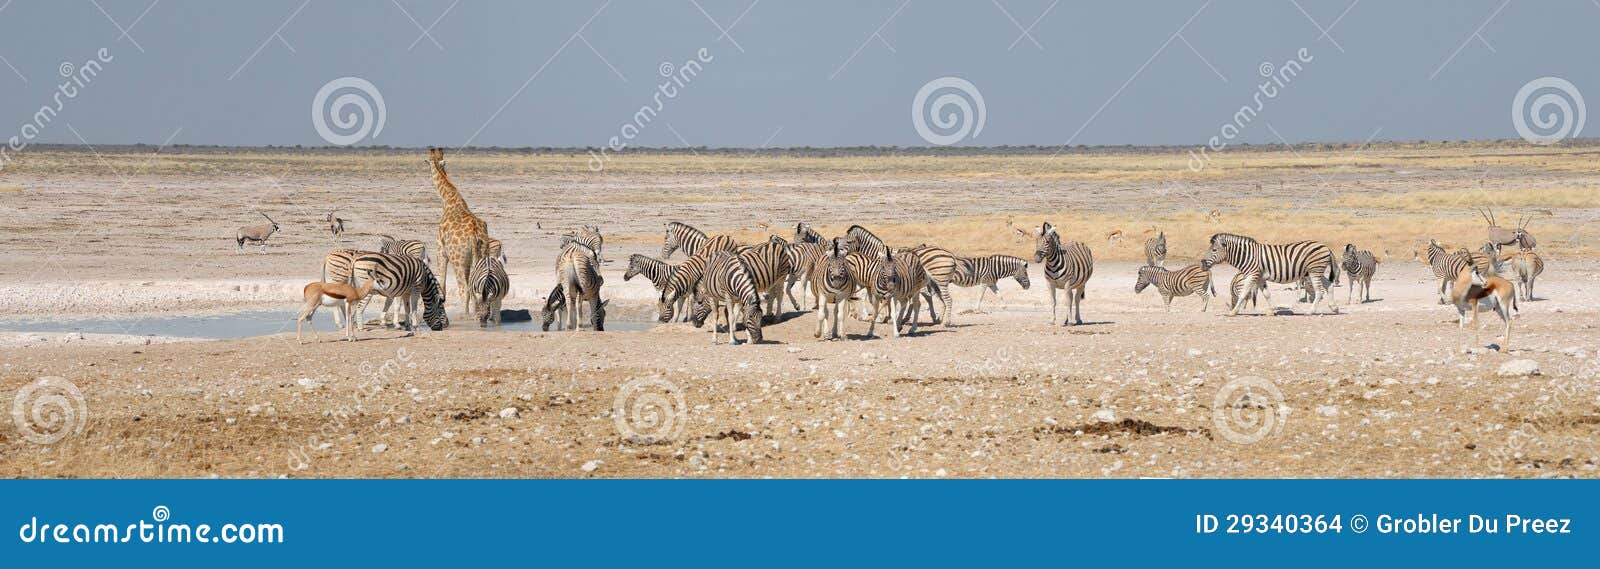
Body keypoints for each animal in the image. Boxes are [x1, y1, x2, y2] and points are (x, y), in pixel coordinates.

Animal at [425, 147, 490, 315]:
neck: (448, 201)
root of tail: (474, 235)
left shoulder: (440, 251)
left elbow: (442, 285)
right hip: (481, 255)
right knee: (478, 286)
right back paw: (477, 314)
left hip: (457, 260)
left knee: (464, 289)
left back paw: (465, 315)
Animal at [1202, 232, 1336, 315]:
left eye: (1214, 250)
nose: (1202, 263)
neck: (1247, 255)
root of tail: (1325, 246)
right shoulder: (1259, 277)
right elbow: (1266, 294)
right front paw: (1272, 310)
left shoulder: (1252, 275)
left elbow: (1243, 294)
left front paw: (1233, 312)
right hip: (1316, 271)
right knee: (1329, 285)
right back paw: (1334, 308)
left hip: (1314, 271)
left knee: (1319, 291)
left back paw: (1311, 311)